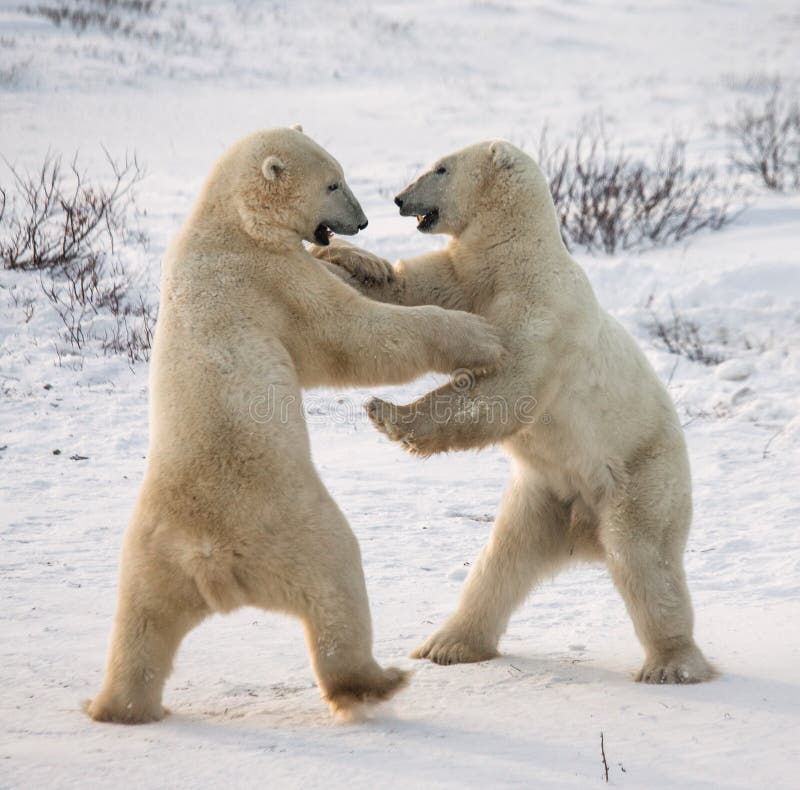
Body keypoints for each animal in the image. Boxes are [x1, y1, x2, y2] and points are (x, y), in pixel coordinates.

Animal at [84, 127, 507, 724]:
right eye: (333, 183)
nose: (365, 221)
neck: (229, 223)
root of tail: (214, 564)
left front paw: (369, 265)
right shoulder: (270, 277)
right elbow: (353, 336)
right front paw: (479, 336)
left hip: (151, 556)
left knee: (139, 627)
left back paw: (115, 706)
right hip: (293, 529)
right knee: (338, 582)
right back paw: (377, 680)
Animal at [311, 140, 715, 684]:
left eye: (441, 168)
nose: (398, 198)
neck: (513, 257)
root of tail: (584, 527)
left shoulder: (541, 309)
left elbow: (507, 390)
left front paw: (388, 414)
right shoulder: (464, 277)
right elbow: (412, 291)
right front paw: (346, 258)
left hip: (641, 476)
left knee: (644, 559)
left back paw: (672, 665)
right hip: (543, 495)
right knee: (502, 561)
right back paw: (447, 644)